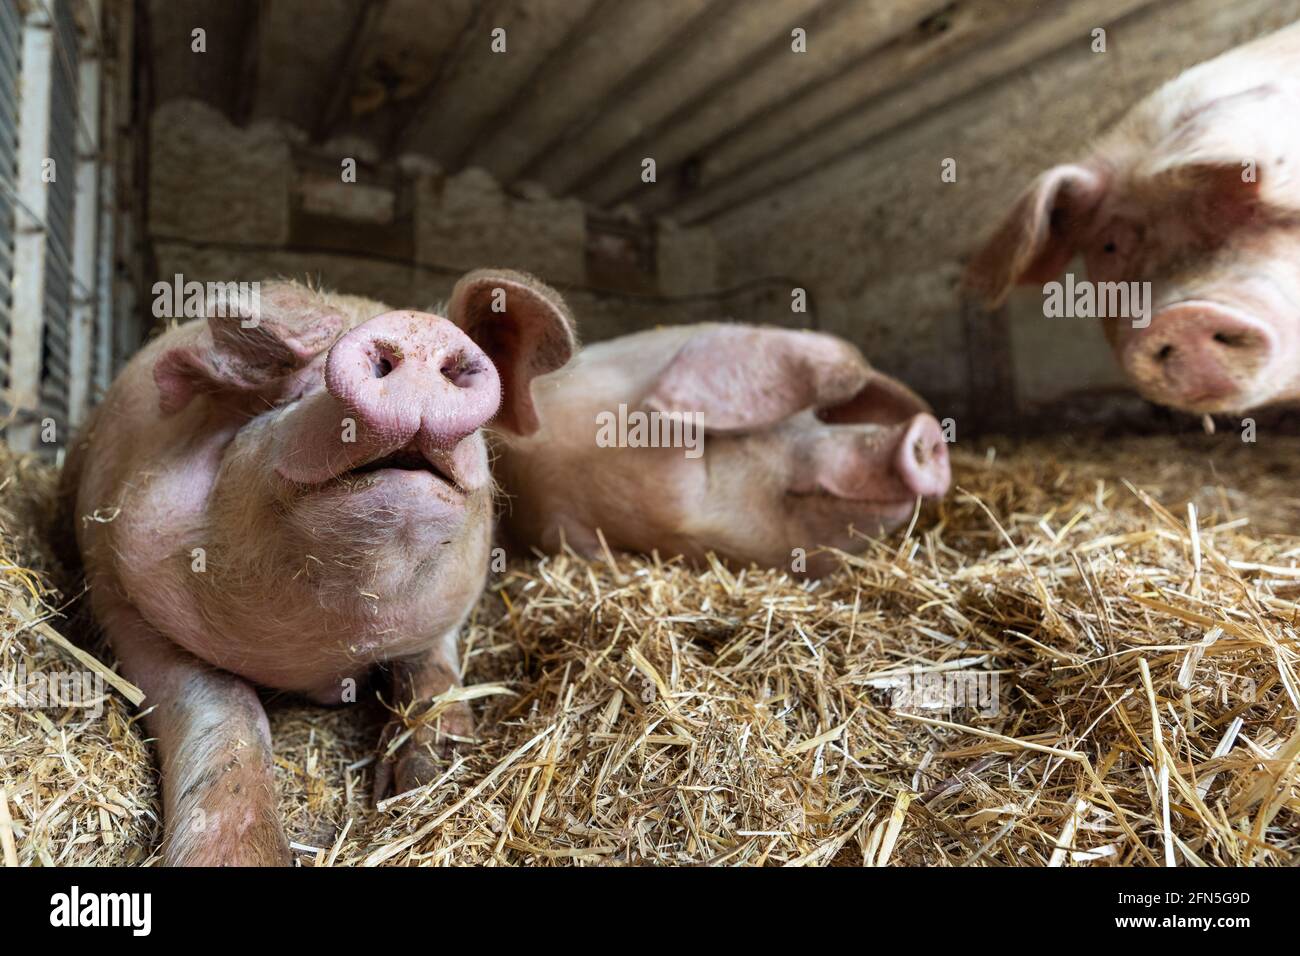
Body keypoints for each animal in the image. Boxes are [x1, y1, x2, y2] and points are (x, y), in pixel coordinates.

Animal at [59, 270, 575, 865]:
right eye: (286, 389)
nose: (417, 326)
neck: (327, 661)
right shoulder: (118, 593)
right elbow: (226, 709)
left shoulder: (447, 612)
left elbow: (433, 673)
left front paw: (429, 775)